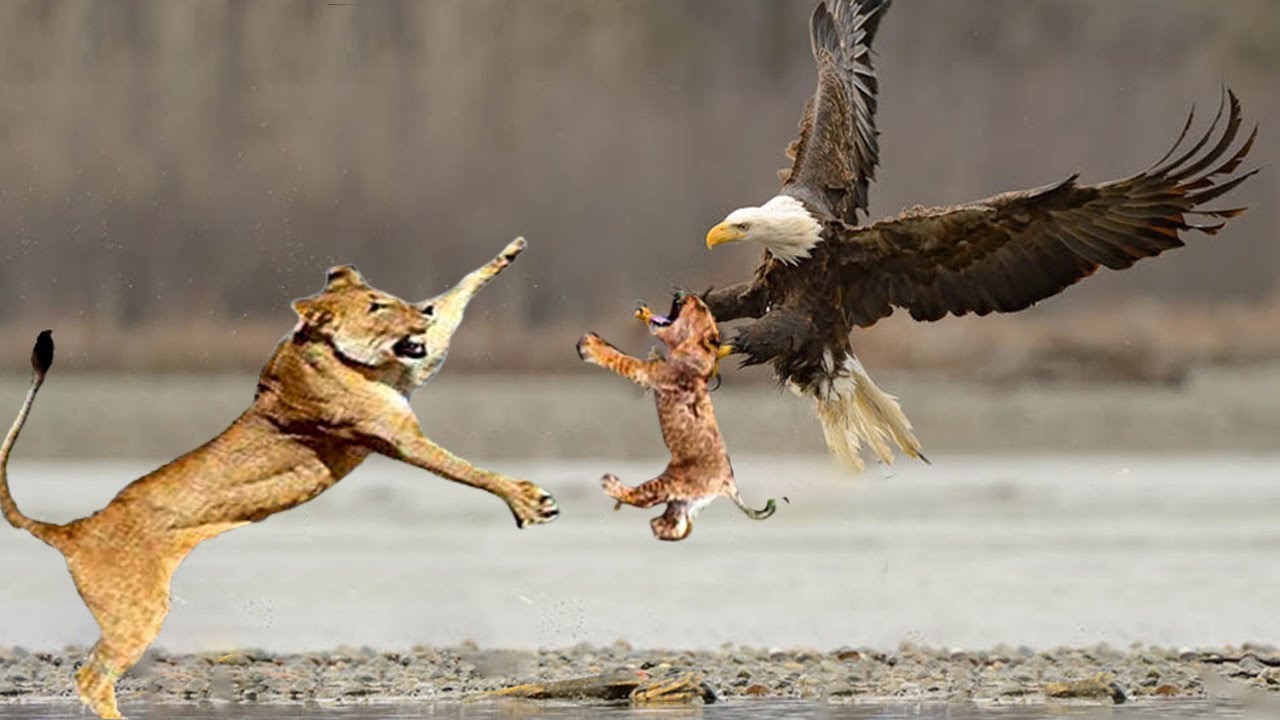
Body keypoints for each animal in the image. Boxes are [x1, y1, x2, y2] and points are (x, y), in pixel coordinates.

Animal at [0, 237, 558, 719]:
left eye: (390, 299)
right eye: (376, 307)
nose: (418, 315)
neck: (332, 351)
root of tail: (72, 529)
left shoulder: (410, 376)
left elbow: (456, 298)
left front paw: (508, 254)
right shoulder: (394, 437)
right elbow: (467, 470)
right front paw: (529, 502)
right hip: (136, 611)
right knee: (91, 677)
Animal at [576, 291, 778, 541]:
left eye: (701, 308)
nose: (684, 293)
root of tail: (729, 484)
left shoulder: (649, 373)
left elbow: (619, 358)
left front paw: (589, 345)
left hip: (668, 483)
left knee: (639, 498)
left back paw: (610, 484)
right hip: (683, 503)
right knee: (679, 525)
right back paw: (657, 526)